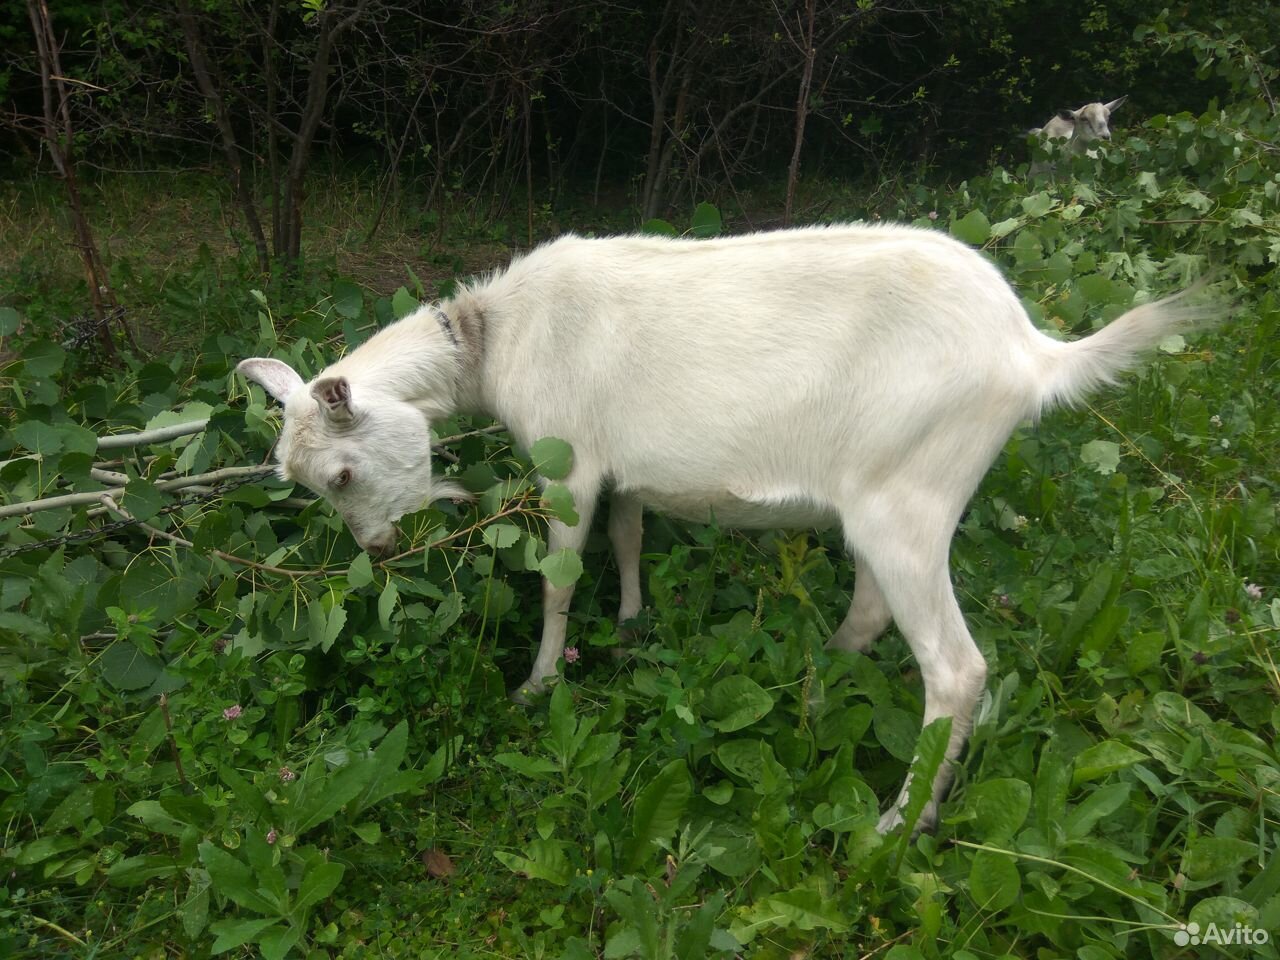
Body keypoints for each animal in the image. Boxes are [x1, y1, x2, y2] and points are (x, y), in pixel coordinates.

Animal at [237, 224, 1209, 833]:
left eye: (342, 474)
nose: (376, 550)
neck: (497, 335)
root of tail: (1033, 353)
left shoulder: (568, 463)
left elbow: (558, 581)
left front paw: (538, 685)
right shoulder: (623, 467)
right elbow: (629, 538)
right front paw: (633, 624)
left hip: (911, 498)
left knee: (957, 670)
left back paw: (900, 823)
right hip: (885, 503)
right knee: (871, 611)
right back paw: (816, 685)